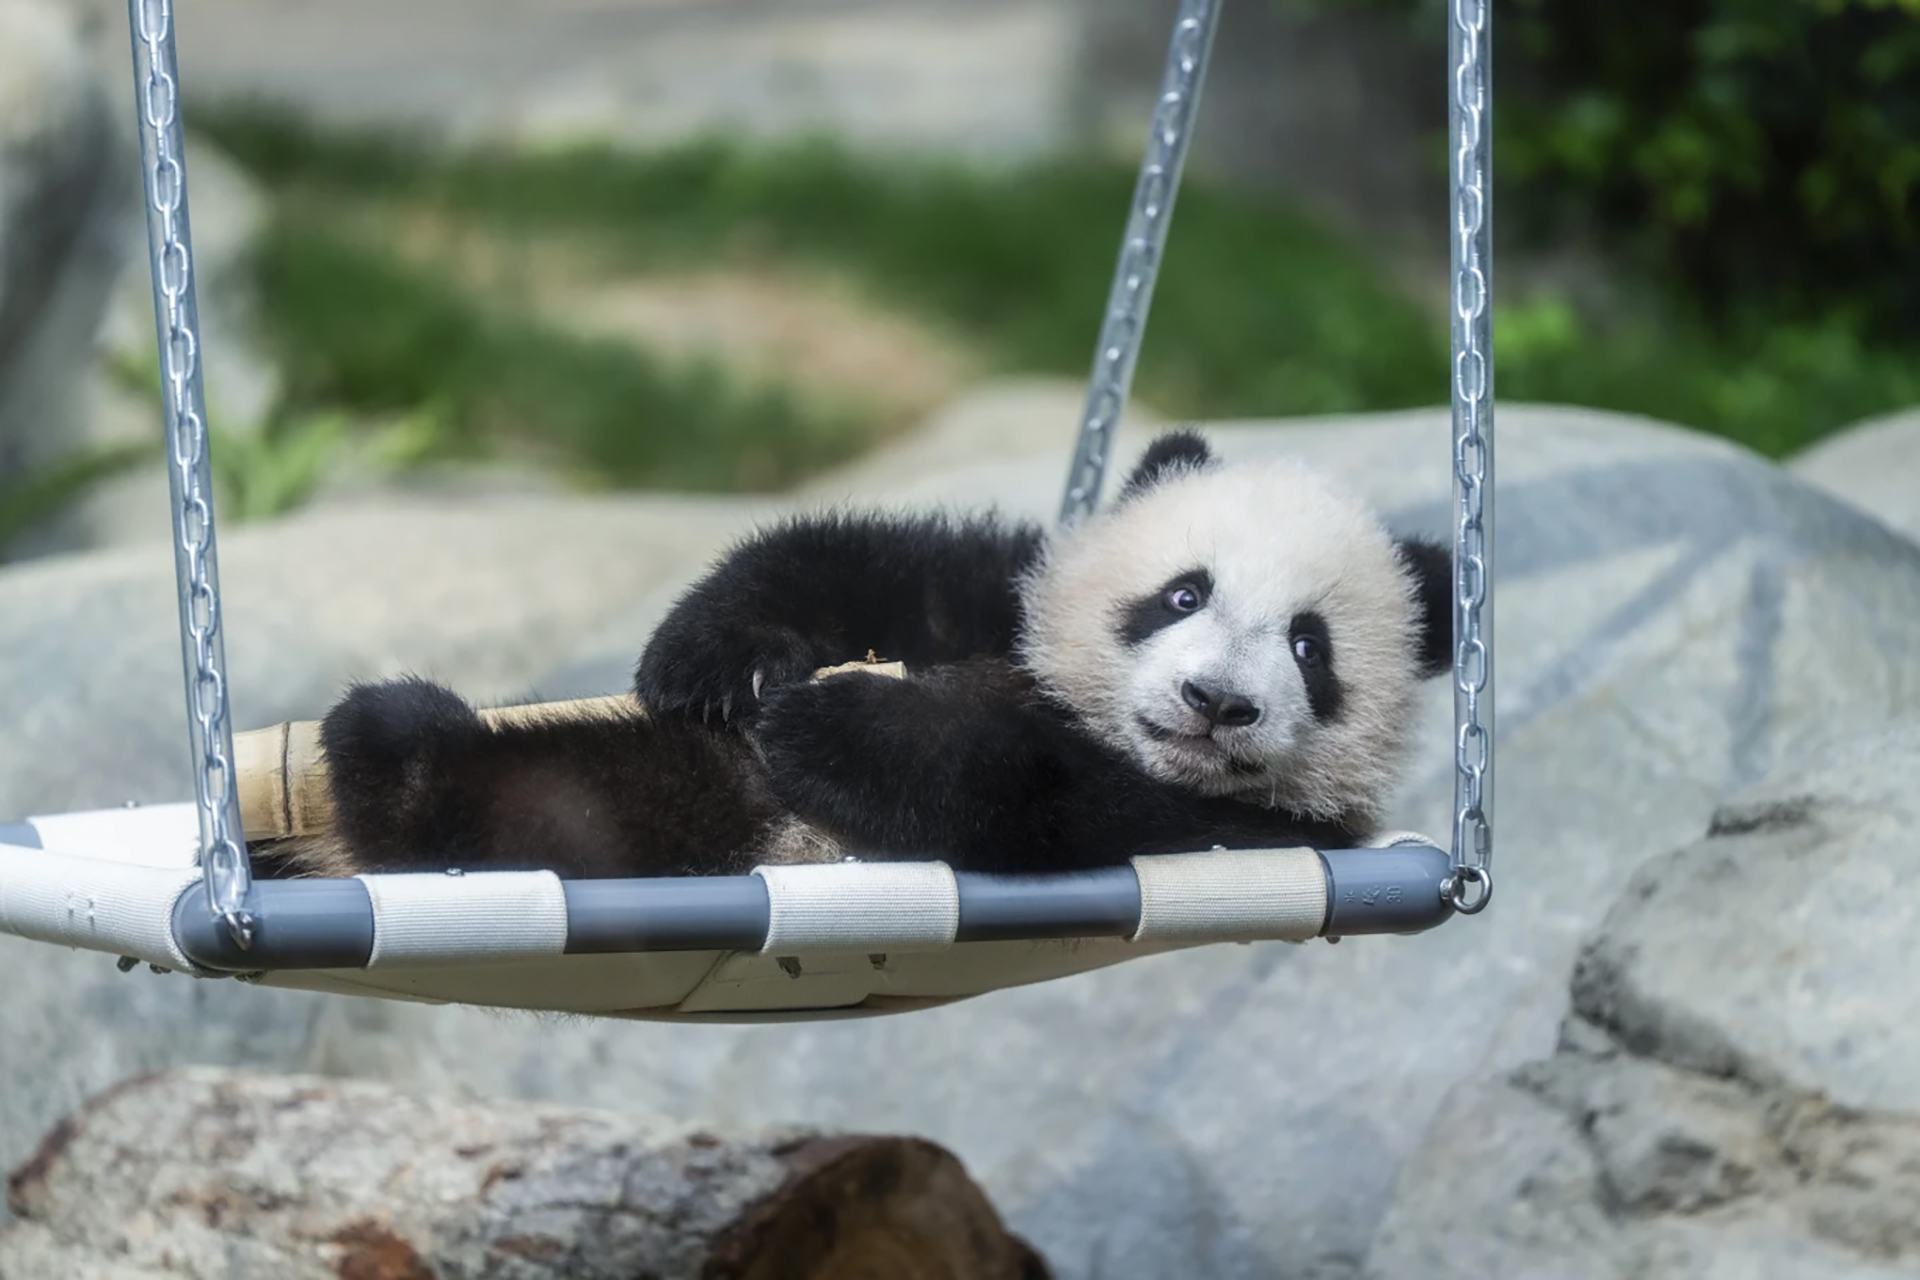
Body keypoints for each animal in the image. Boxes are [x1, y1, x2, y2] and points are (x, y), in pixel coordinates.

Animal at [257, 430, 1451, 881]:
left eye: (1310, 647)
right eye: (1183, 593)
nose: (1214, 699)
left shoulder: (1251, 828)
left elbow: (1043, 795)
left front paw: (834, 726)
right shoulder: (999, 595)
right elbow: (861, 565)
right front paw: (728, 660)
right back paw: (395, 749)